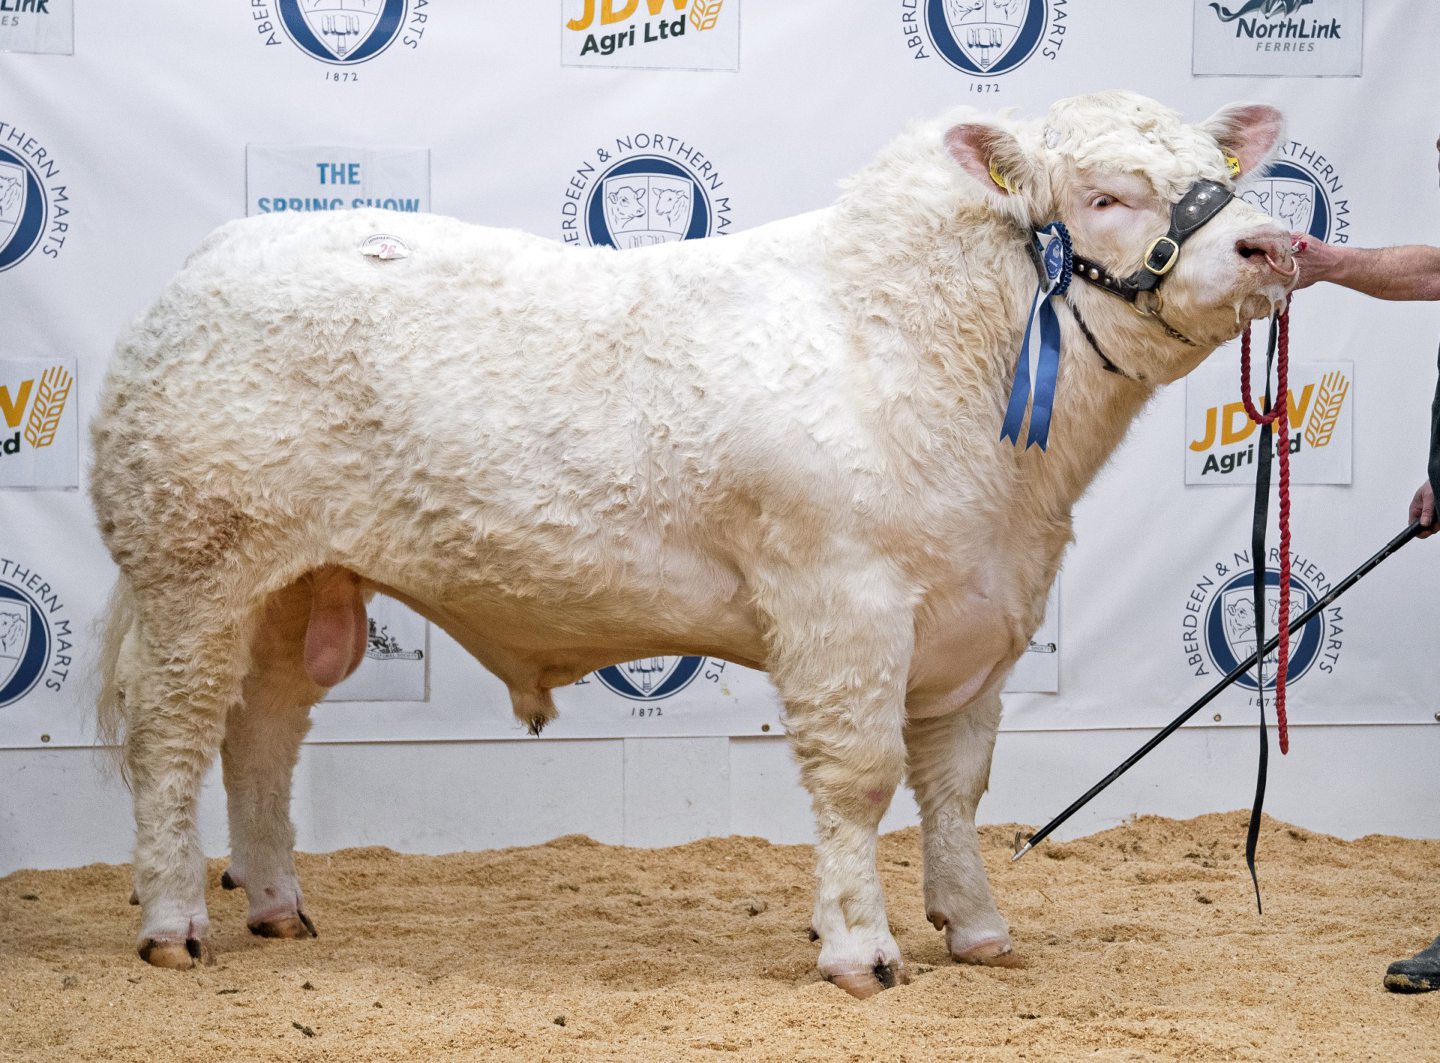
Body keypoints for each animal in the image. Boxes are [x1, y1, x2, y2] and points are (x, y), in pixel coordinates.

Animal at [90, 91, 1296, 998]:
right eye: (1105, 195)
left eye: (1221, 171)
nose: (1269, 241)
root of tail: (215, 254)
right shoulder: (843, 602)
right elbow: (862, 776)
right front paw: (861, 949)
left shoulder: (982, 612)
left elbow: (956, 785)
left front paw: (978, 926)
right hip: (192, 563)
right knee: (172, 737)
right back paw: (174, 920)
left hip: (294, 583)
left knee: (262, 733)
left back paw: (277, 905)